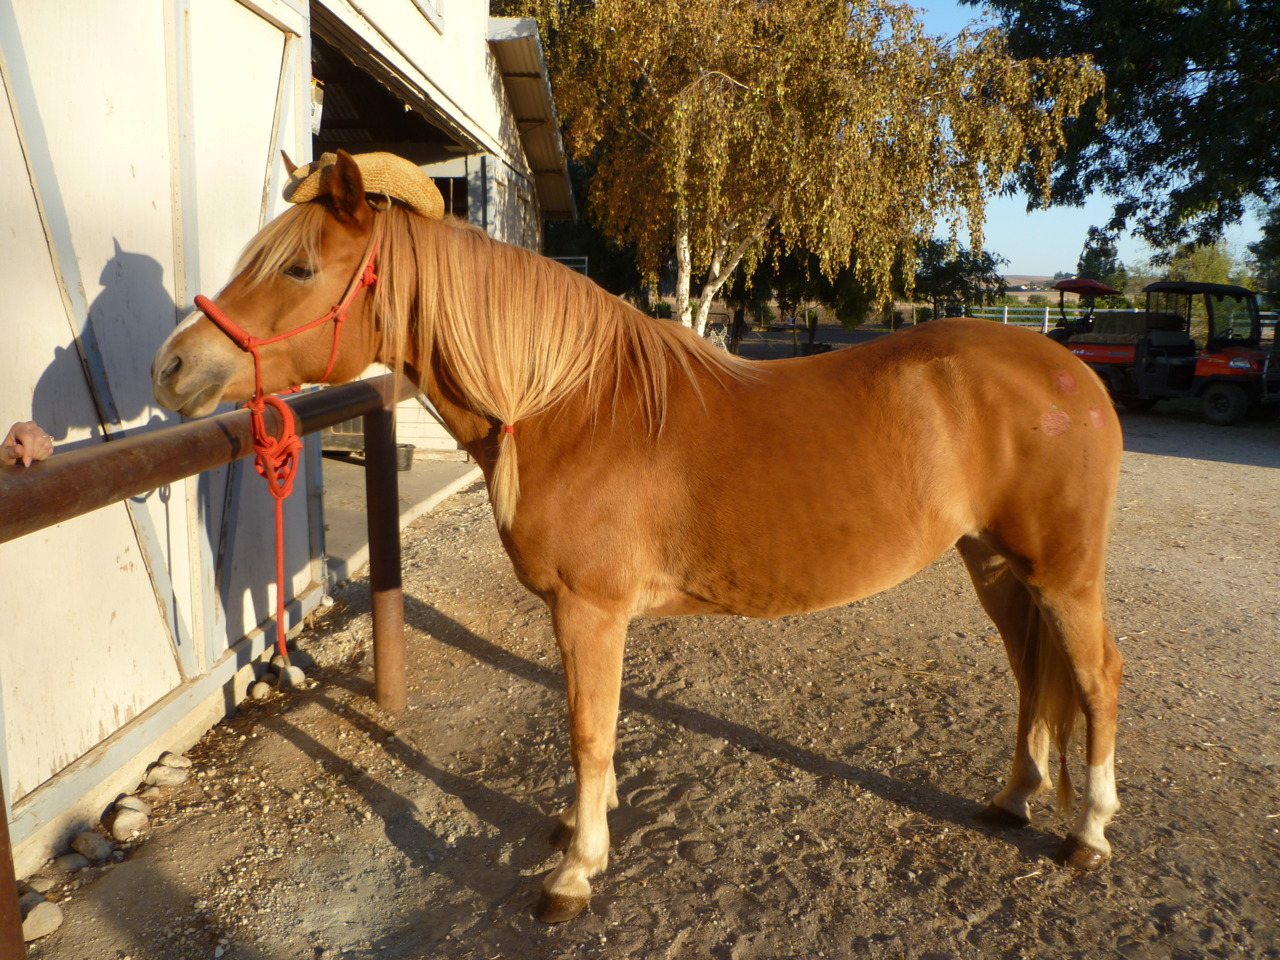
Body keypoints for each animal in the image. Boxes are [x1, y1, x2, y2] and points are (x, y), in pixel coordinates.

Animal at [152, 150, 1124, 923]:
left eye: (300, 268)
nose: (173, 366)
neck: (567, 404)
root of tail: (1069, 372)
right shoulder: (577, 614)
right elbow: (593, 724)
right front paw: (585, 824)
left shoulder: (592, 609)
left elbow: (588, 730)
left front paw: (575, 870)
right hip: (996, 563)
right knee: (1031, 676)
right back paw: (1013, 798)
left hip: (1063, 574)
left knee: (1095, 678)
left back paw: (1088, 833)